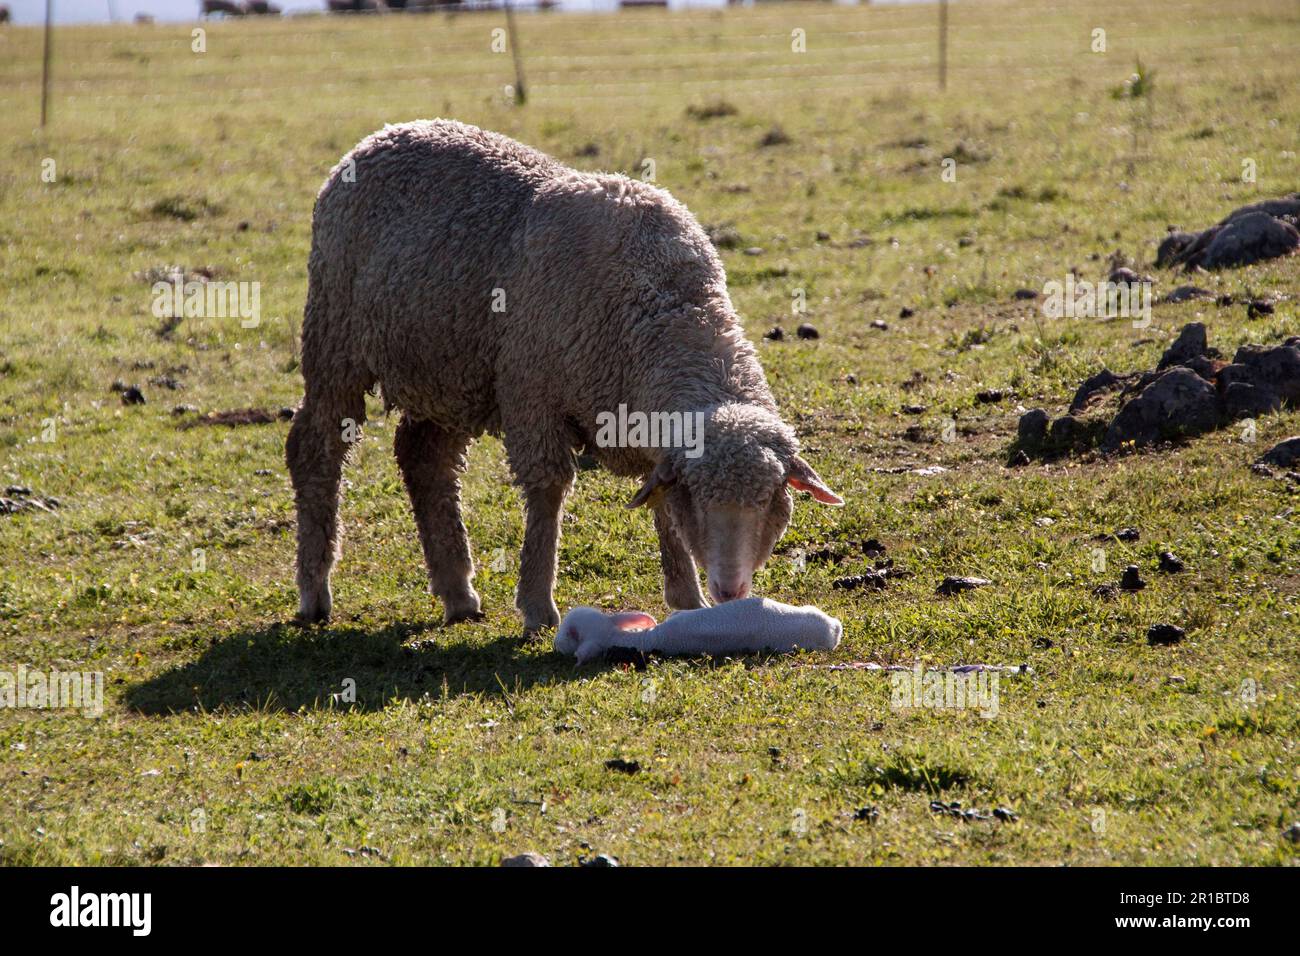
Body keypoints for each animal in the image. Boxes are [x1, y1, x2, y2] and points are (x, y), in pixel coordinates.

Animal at [288, 120, 842, 634]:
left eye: (769, 498)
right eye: (700, 499)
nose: (731, 590)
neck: (663, 307)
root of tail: (386, 133)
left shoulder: (641, 421)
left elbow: (655, 497)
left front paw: (687, 597)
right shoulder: (533, 394)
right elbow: (548, 492)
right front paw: (537, 605)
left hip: (447, 370)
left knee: (424, 458)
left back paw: (458, 592)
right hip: (336, 339)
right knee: (315, 448)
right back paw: (315, 591)